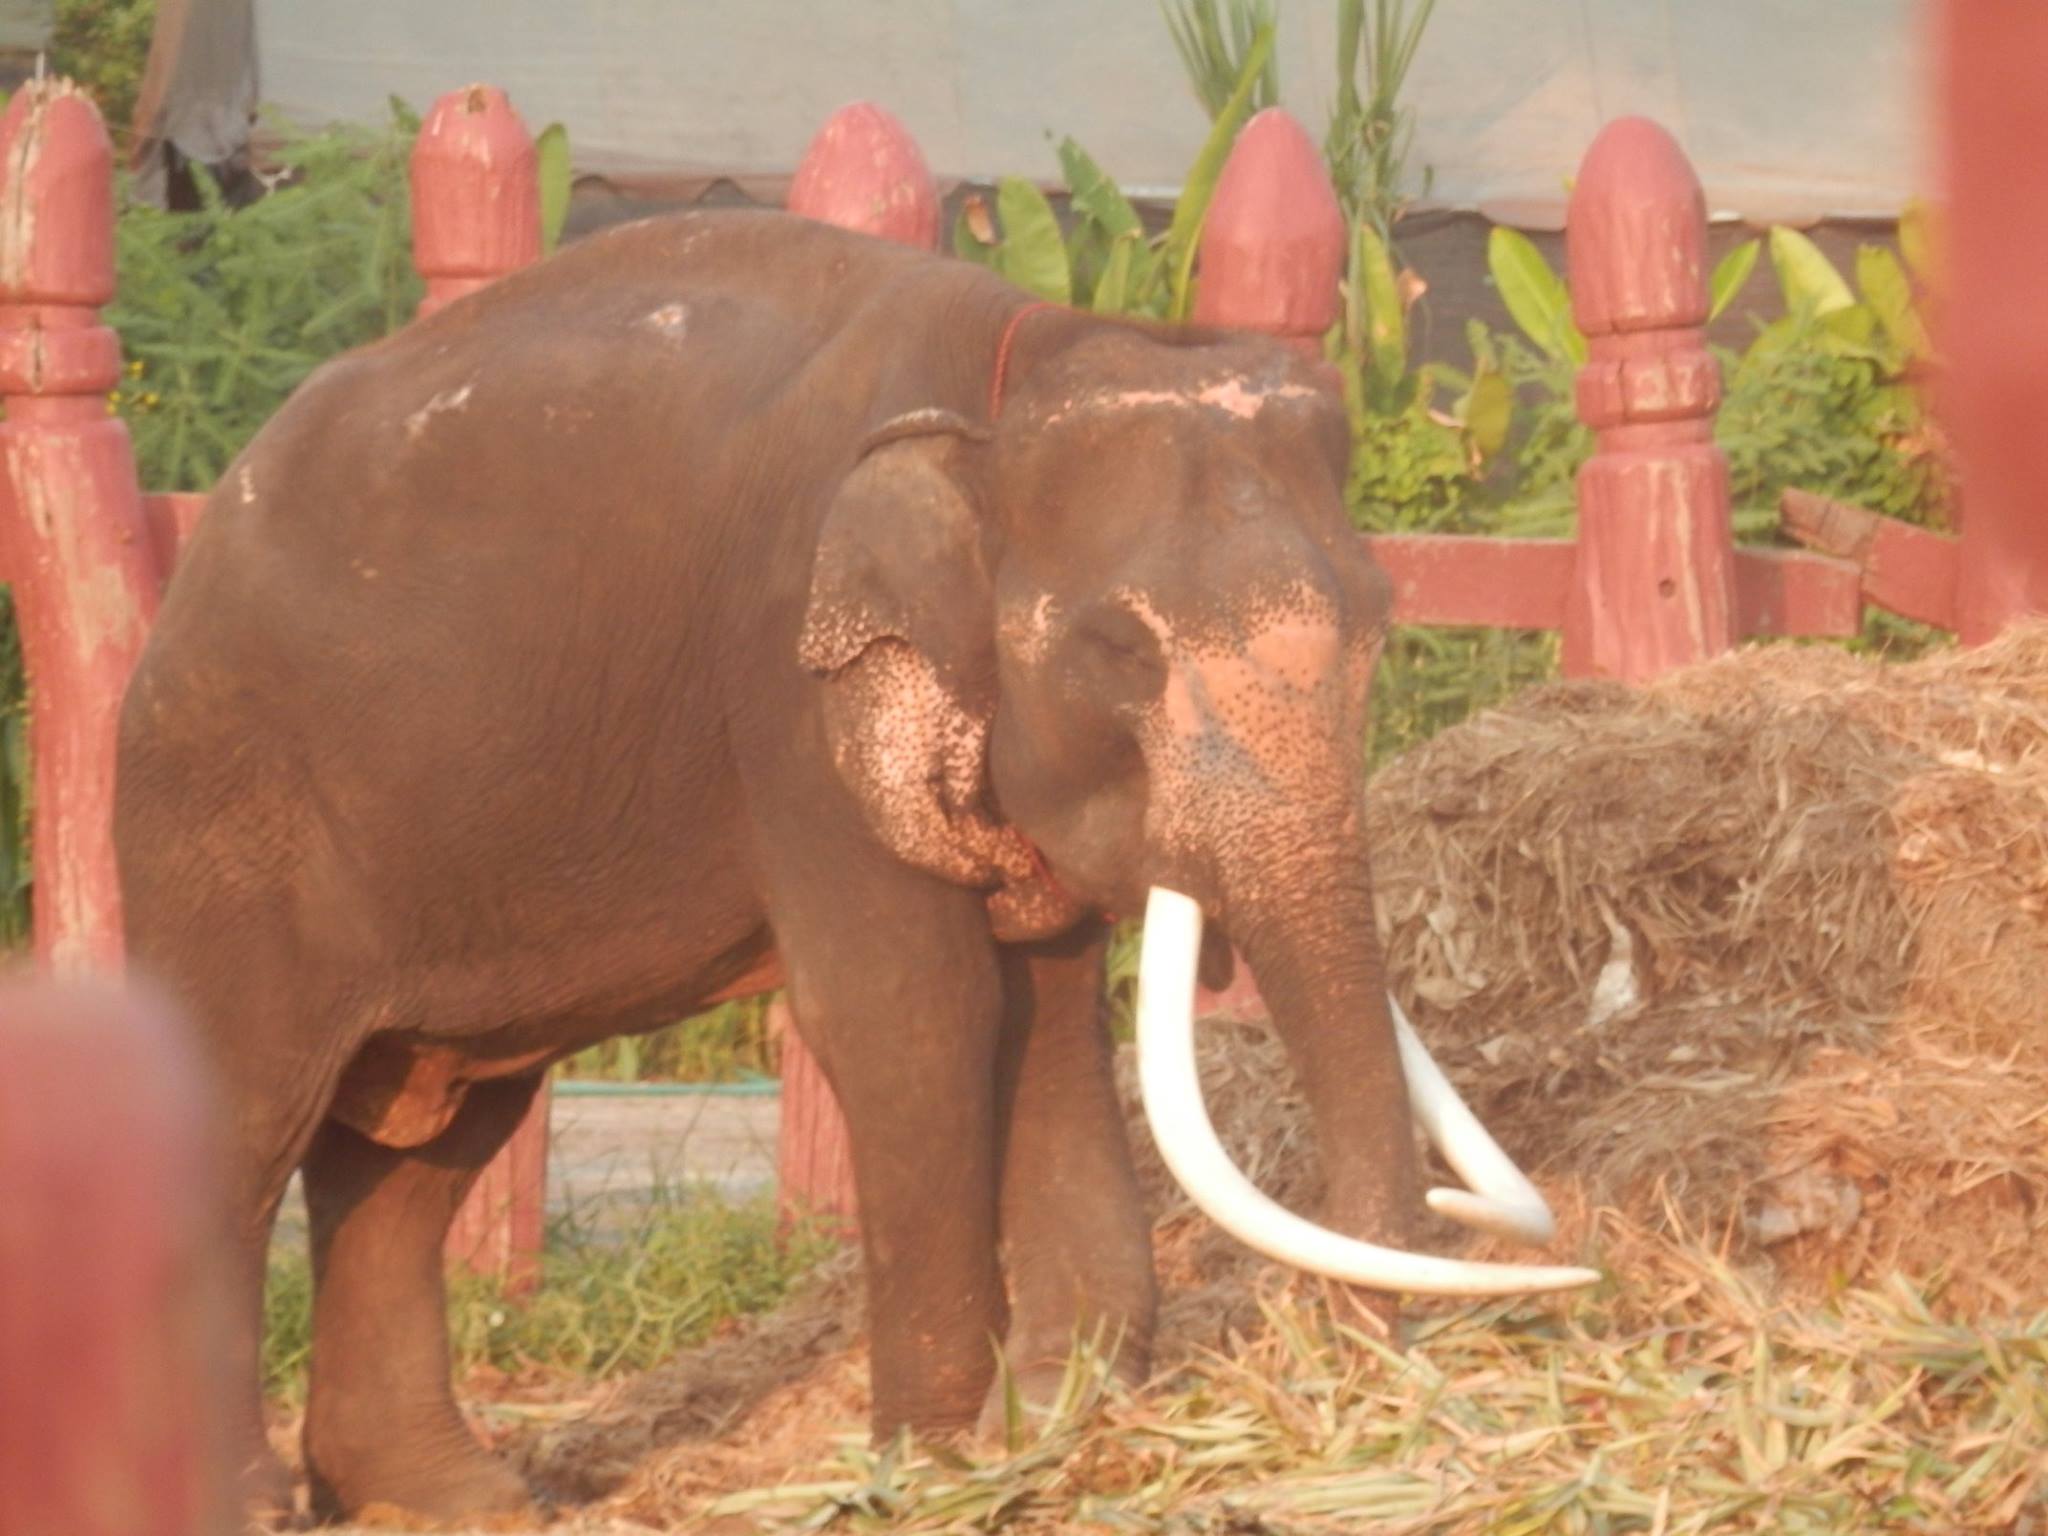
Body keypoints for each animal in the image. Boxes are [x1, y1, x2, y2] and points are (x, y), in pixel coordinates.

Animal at [113, 208, 1593, 1527]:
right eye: (1123, 650)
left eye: (1381, 621)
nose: (1369, 1407)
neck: (1012, 367)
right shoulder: (792, 695)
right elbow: (916, 1019)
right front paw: (931, 1475)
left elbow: (1048, 1020)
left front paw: (1065, 1426)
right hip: (217, 812)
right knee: (246, 1118)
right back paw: (242, 1505)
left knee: (422, 1147)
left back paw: (451, 1501)